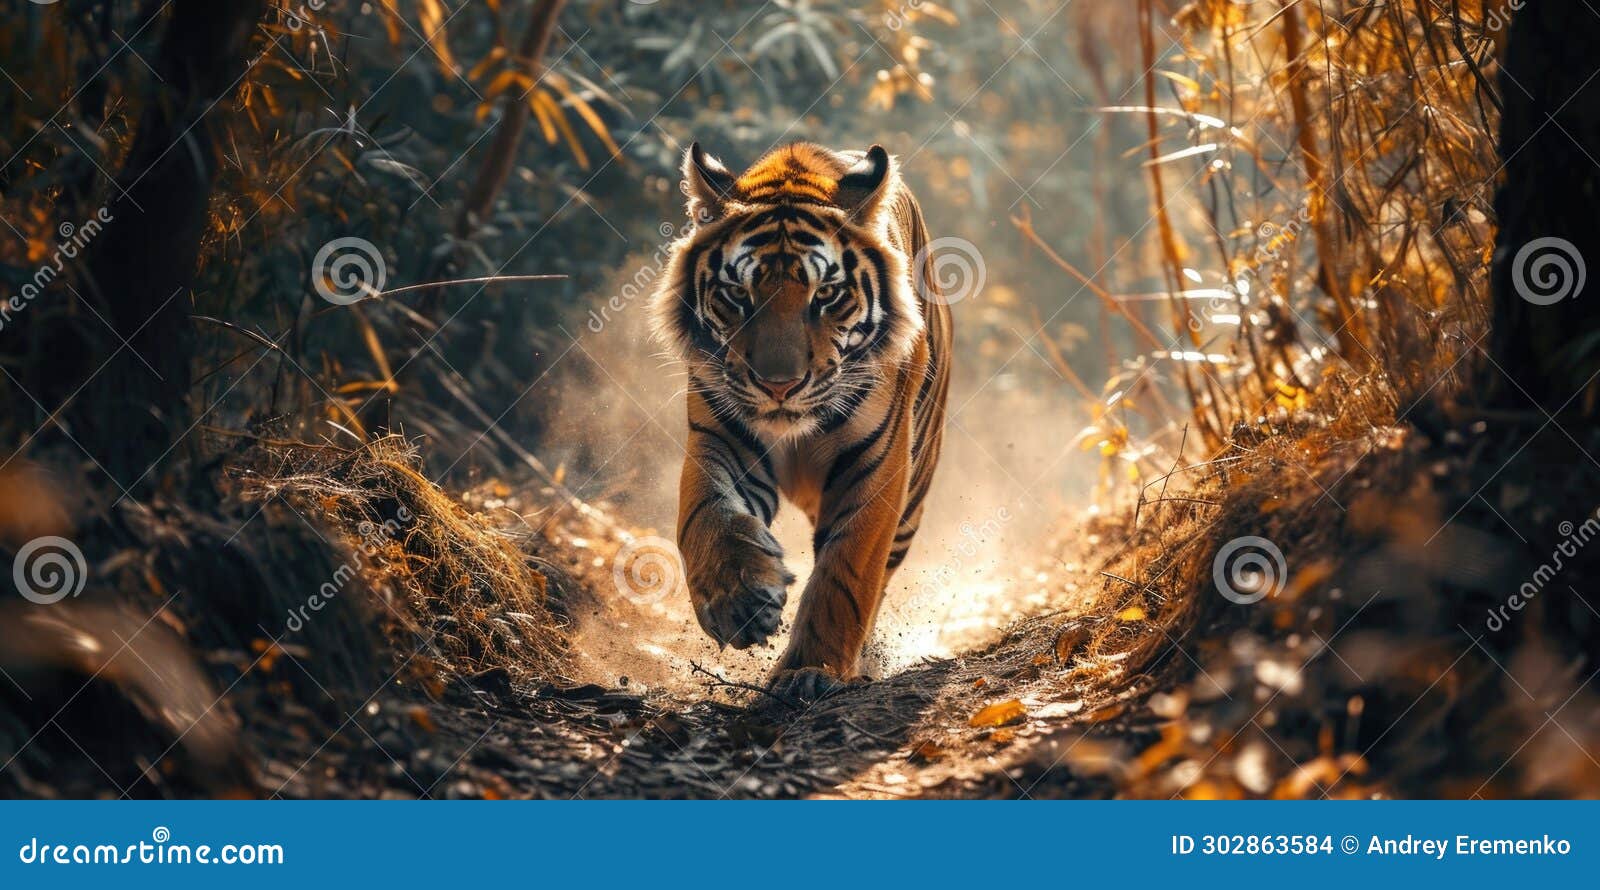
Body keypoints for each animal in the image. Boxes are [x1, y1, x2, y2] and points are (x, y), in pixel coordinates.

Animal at [650, 141, 952, 701]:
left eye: (826, 295)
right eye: (738, 294)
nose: (779, 386)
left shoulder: (877, 463)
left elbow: (845, 571)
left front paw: (809, 672)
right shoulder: (720, 437)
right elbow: (706, 516)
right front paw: (739, 601)